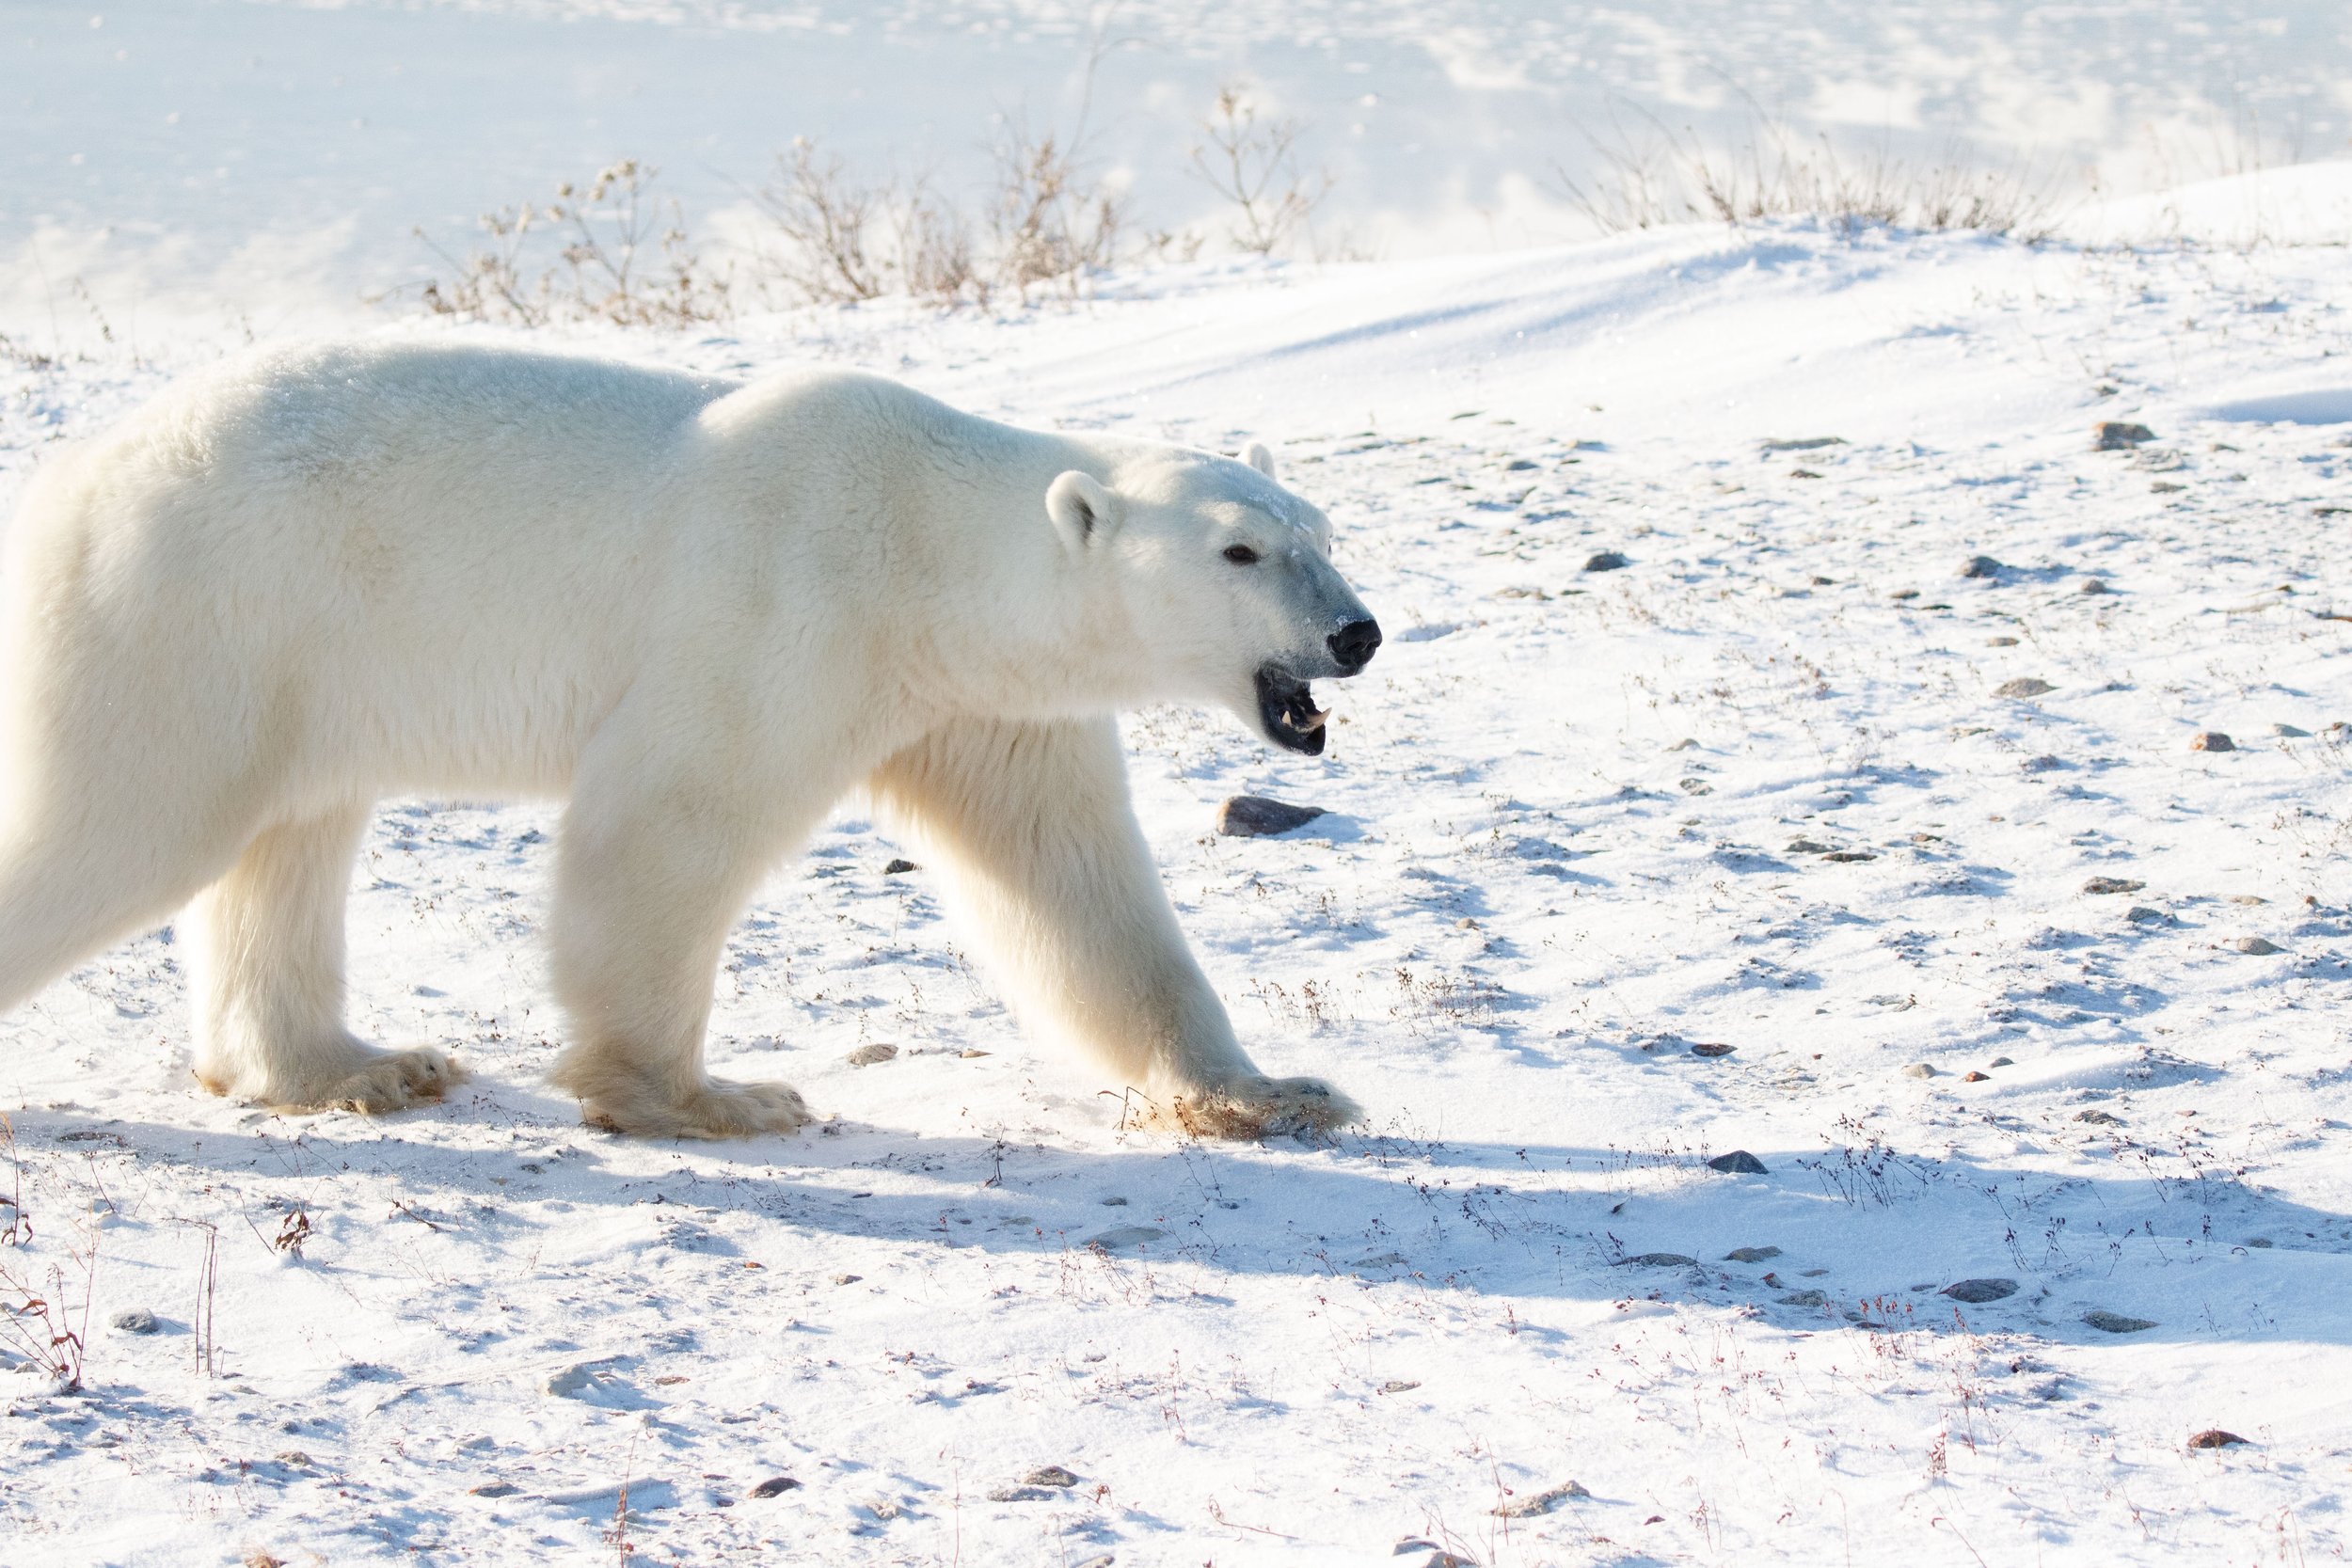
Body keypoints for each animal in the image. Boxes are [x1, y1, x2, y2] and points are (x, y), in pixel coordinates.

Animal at [0, 340, 1381, 1140]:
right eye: (1239, 550)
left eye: (1318, 529)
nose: (1356, 631)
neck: (928, 548)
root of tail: (70, 479)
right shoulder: (789, 606)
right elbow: (663, 819)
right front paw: (711, 1094)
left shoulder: (982, 702)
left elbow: (1077, 885)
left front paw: (1272, 1091)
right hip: (197, 608)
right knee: (126, 822)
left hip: (295, 656)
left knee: (289, 837)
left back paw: (358, 1065)